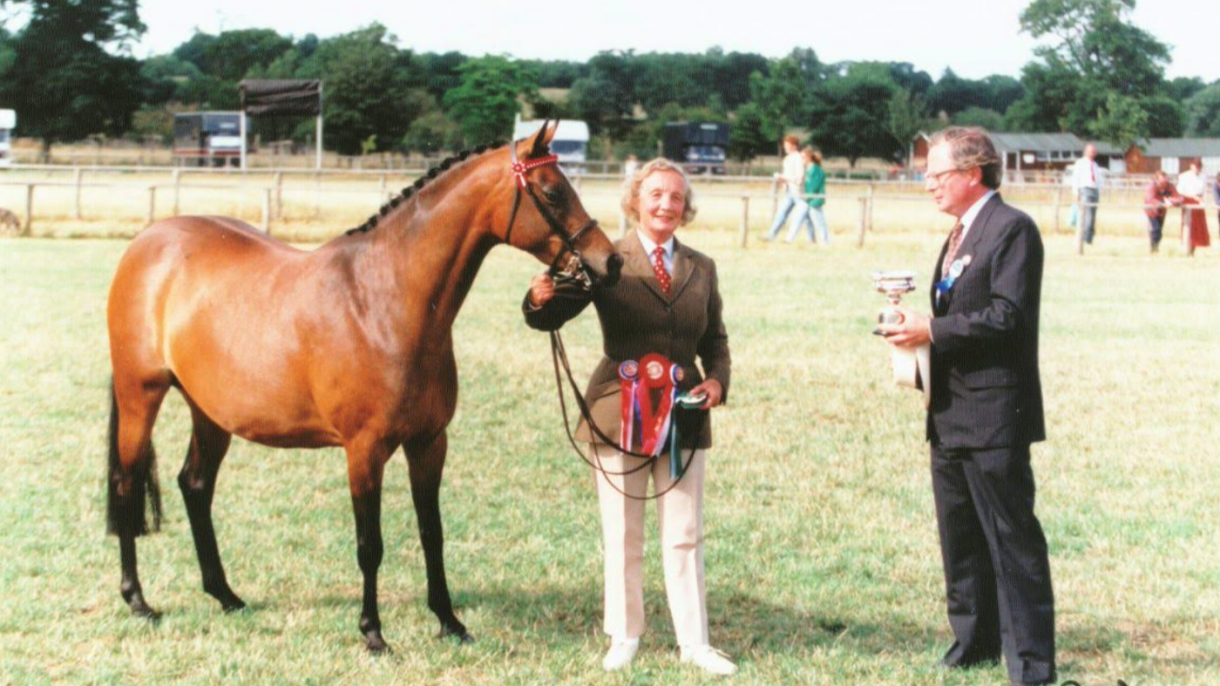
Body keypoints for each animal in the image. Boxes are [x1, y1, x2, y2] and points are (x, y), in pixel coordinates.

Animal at [105, 122, 623, 652]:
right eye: (554, 192)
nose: (610, 262)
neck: (383, 301)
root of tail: (147, 242)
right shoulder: (364, 450)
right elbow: (369, 544)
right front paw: (373, 632)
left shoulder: (429, 443)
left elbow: (431, 532)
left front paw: (449, 621)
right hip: (139, 395)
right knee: (126, 484)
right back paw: (138, 600)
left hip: (210, 412)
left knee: (195, 485)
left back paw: (225, 595)